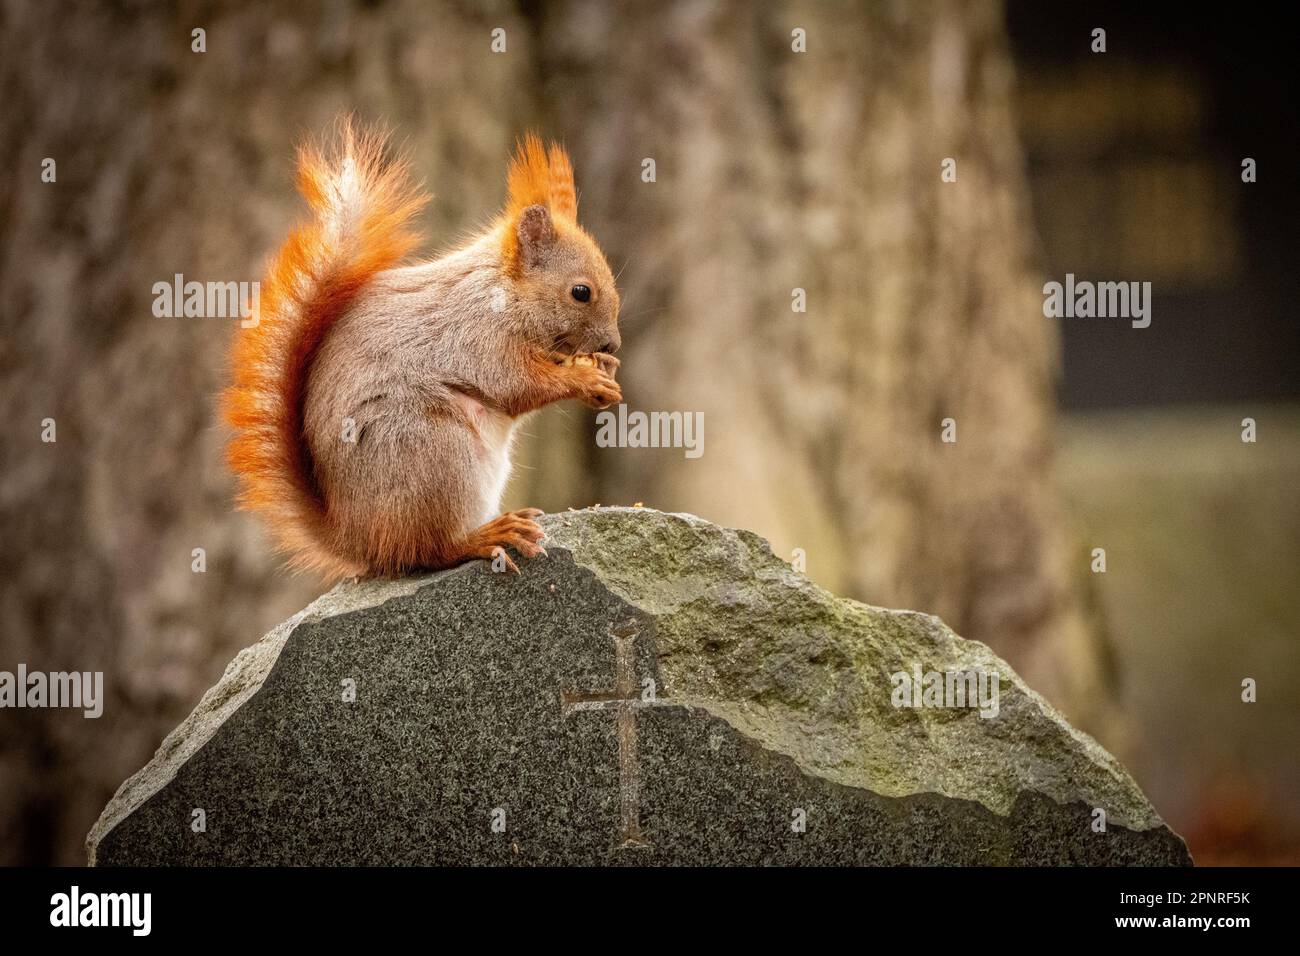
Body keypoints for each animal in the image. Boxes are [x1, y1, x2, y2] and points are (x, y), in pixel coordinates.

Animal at [223, 121, 622, 581]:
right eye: (581, 292)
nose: (613, 343)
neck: (502, 292)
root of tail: (356, 538)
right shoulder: (477, 338)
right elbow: (517, 385)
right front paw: (585, 378)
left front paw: (606, 374)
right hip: (432, 451)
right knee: (430, 549)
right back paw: (487, 536)